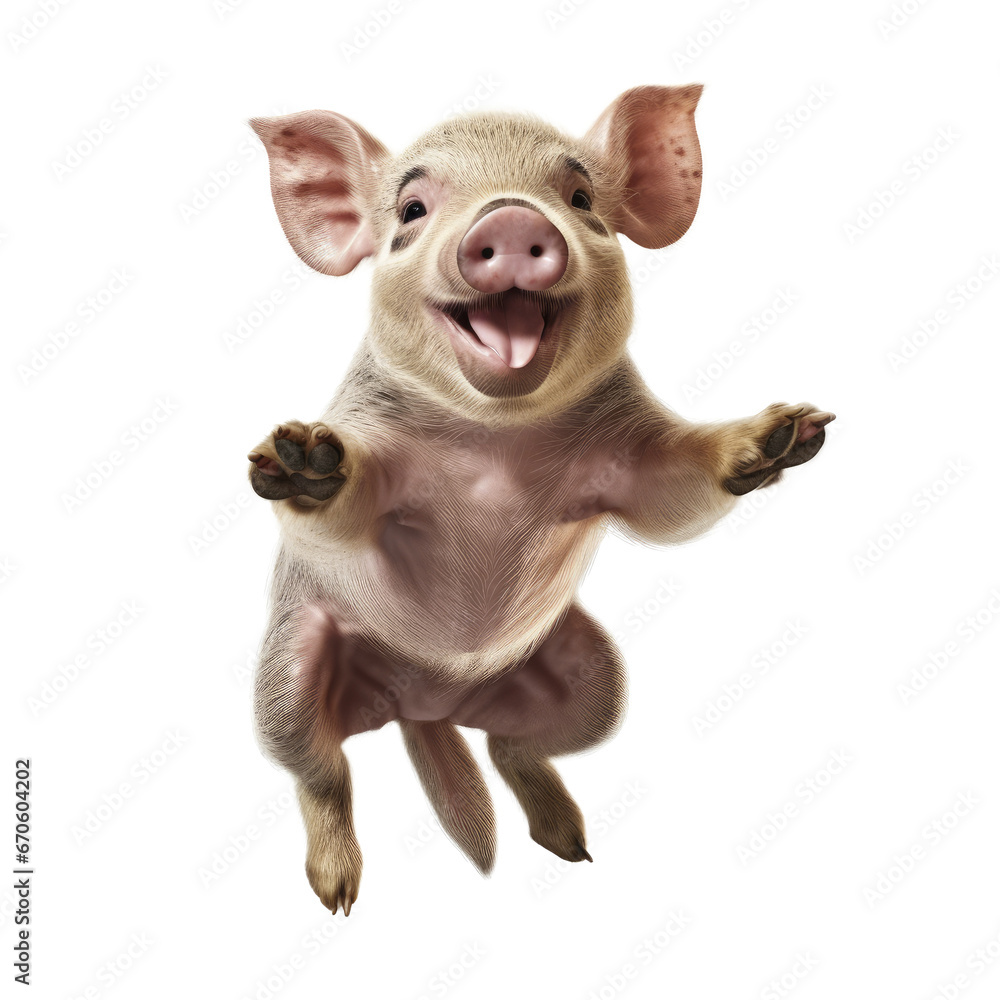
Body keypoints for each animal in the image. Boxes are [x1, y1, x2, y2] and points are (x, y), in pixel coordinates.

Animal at [246, 85, 834, 915]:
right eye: (412, 210)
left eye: (581, 198)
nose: (512, 220)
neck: (498, 446)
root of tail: (425, 703)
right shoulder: (373, 444)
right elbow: (345, 505)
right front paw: (301, 457)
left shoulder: (628, 449)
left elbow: (671, 494)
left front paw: (791, 432)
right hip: (287, 670)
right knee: (319, 768)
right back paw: (337, 895)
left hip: (596, 676)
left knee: (517, 743)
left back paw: (573, 845)